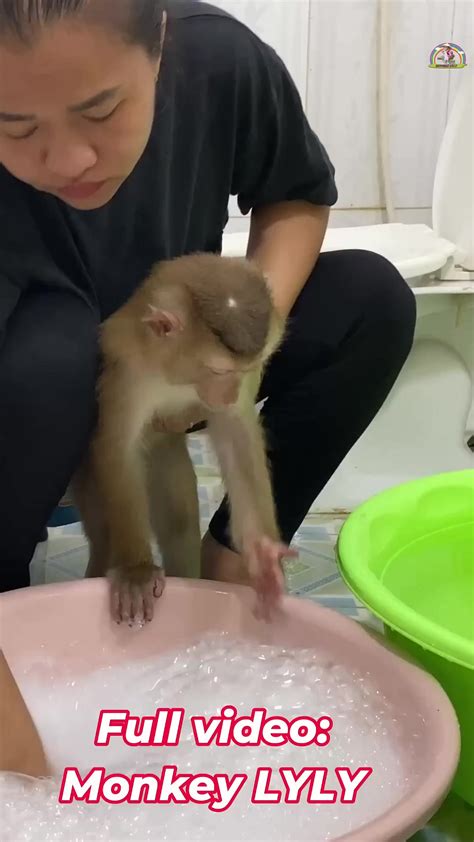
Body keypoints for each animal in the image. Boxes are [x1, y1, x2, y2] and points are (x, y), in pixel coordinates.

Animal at [73, 253, 297, 625]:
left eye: (245, 370)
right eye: (219, 371)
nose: (227, 394)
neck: (180, 377)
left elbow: (237, 433)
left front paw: (263, 556)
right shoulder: (131, 371)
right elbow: (118, 447)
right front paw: (136, 571)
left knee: (179, 521)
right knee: (104, 534)